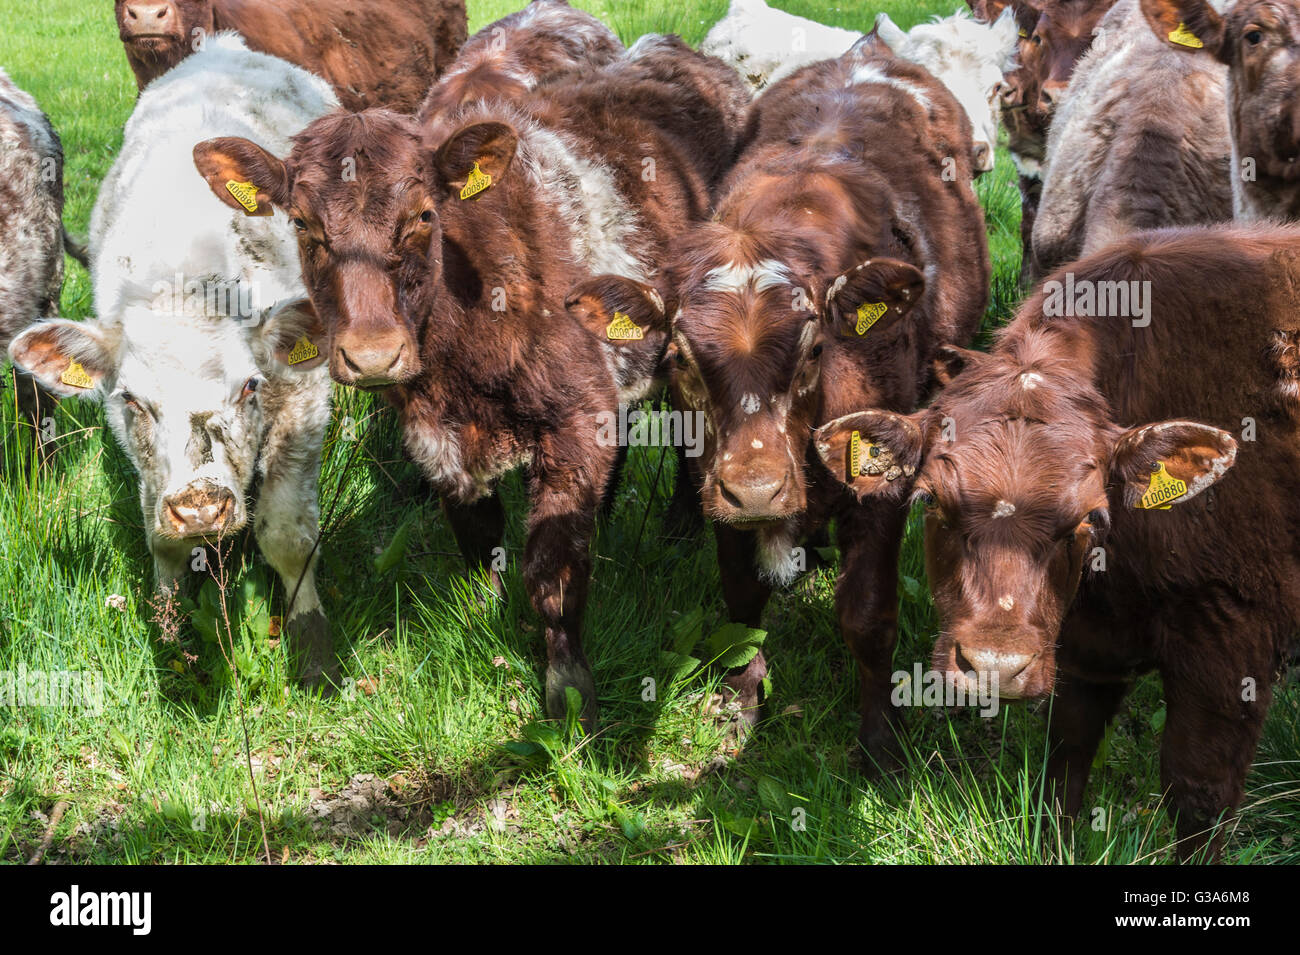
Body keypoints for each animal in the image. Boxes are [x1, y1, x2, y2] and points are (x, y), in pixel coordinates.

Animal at [9, 36, 339, 686]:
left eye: (249, 387)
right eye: (135, 399)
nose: (200, 505)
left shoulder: (304, 401)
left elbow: (288, 532)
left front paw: (311, 643)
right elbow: (160, 541)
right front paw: (171, 626)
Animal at [189, 37, 753, 727]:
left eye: (423, 214)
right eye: (301, 223)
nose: (372, 355)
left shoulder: (574, 421)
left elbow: (553, 569)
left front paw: (569, 692)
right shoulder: (434, 433)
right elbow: (477, 534)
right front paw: (484, 611)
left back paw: (677, 529)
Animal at [585, 35, 989, 760]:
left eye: (814, 350)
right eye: (680, 359)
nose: (758, 489)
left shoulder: (882, 484)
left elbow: (868, 614)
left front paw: (879, 741)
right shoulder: (714, 482)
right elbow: (741, 602)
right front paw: (742, 703)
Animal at [815, 222, 1300, 860]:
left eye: (1089, 516)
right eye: (930, 501)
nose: (994, 666)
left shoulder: (1231, 639)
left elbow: (1199, 795)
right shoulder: (1087, 645)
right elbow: (1065, 764)